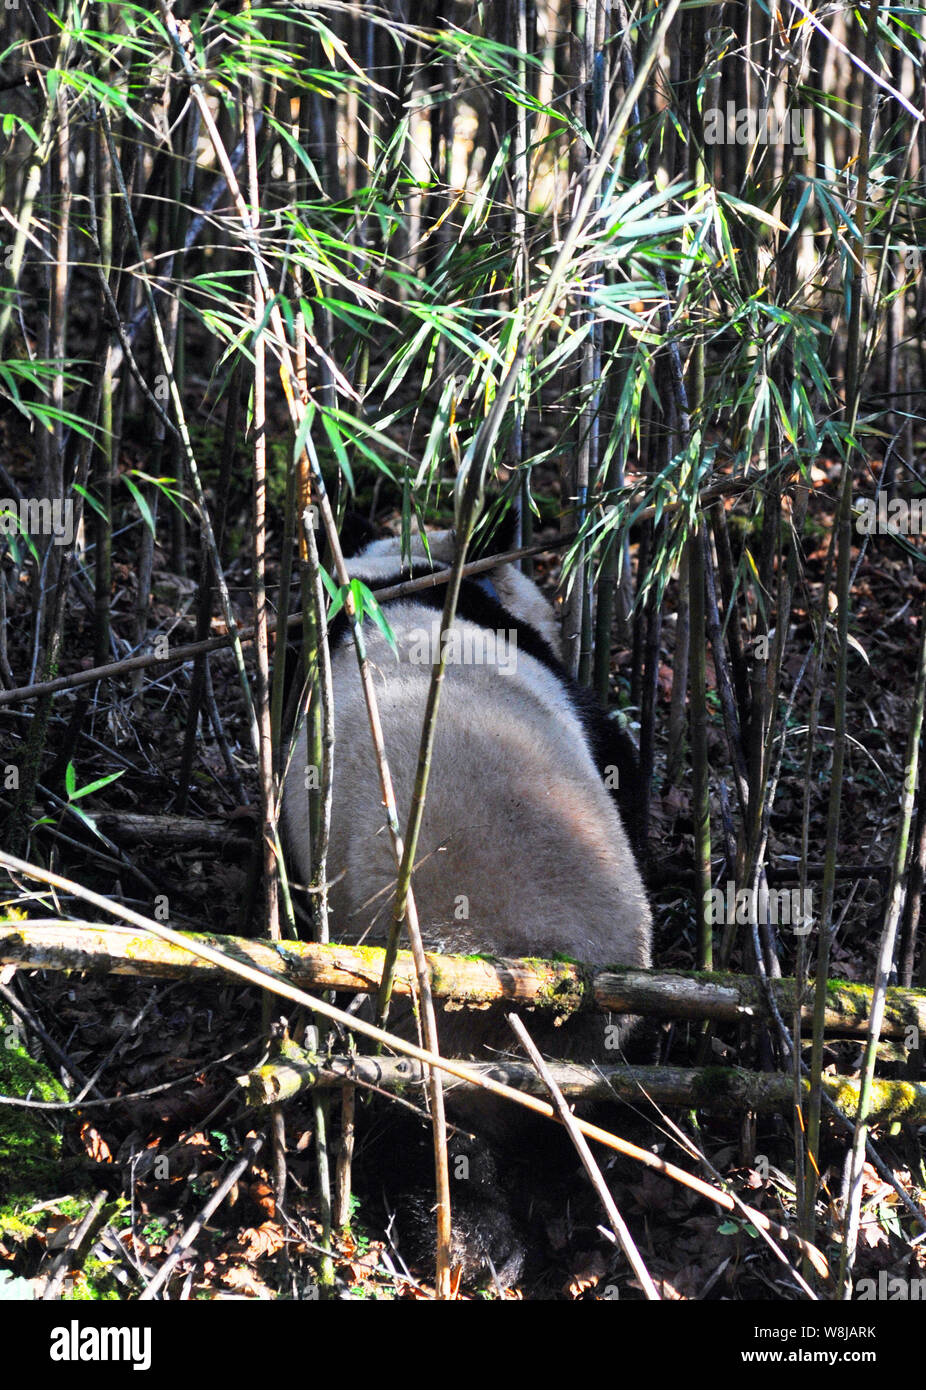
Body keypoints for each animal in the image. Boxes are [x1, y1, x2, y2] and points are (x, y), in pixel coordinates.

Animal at [280, 519, 652, 1286]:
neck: (398, 584)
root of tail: (515, 978)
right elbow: (624, 760)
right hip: (420, 1038)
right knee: (432, 1139)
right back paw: (488, 1246)